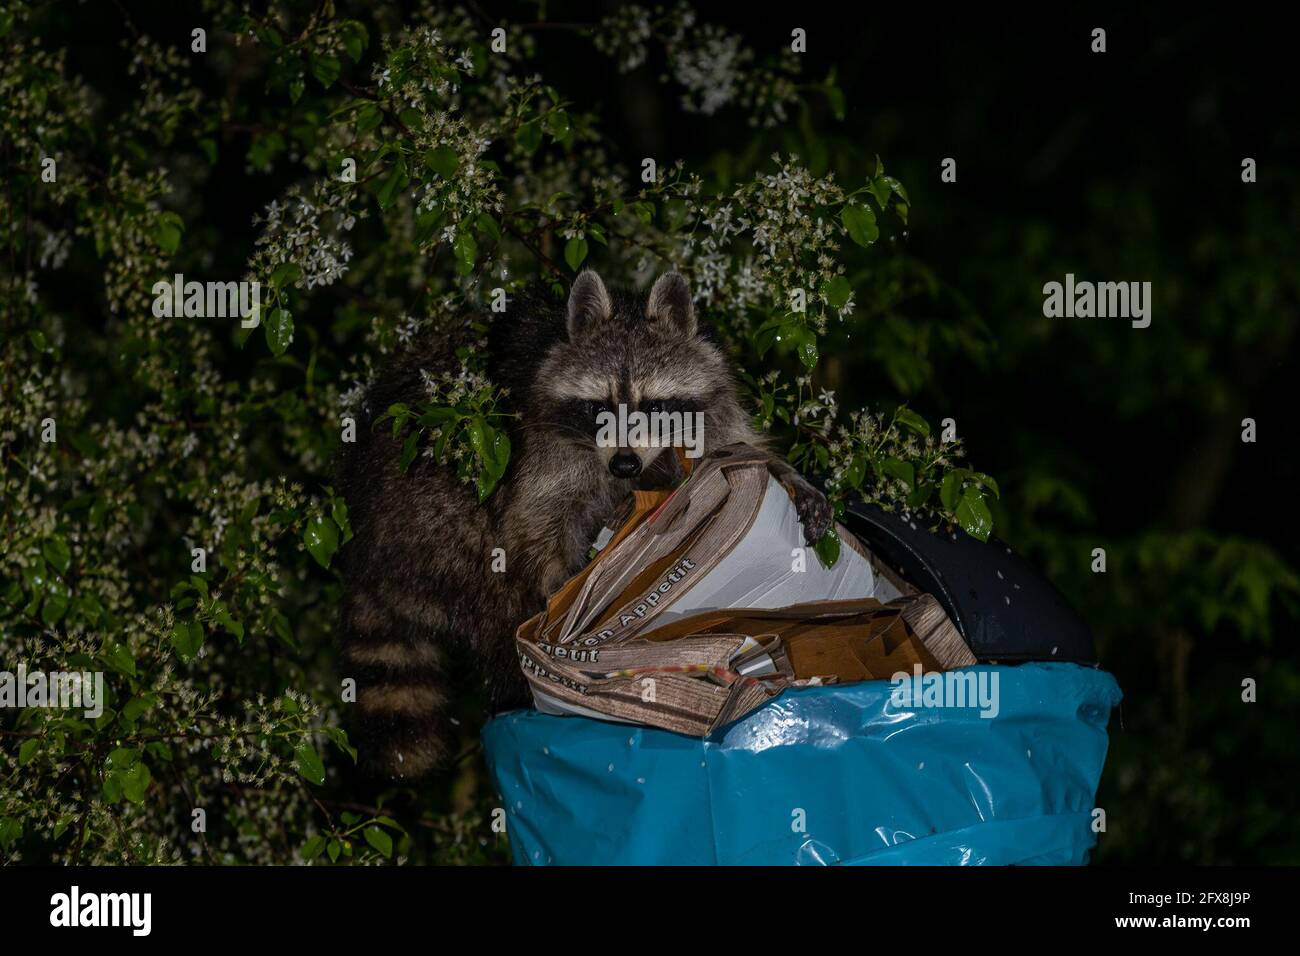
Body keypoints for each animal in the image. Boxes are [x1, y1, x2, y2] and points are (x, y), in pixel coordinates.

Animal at [337, 270, 831, 777]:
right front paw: (567, 584)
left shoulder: (709, 409)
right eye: (599, 408)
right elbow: (534, 524)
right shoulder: (541, 448)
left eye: (655, 408)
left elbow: (735, 444)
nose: (624, 465)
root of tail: (368, 549)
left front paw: (788, 475)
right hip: (430, 517)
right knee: (492, 580)